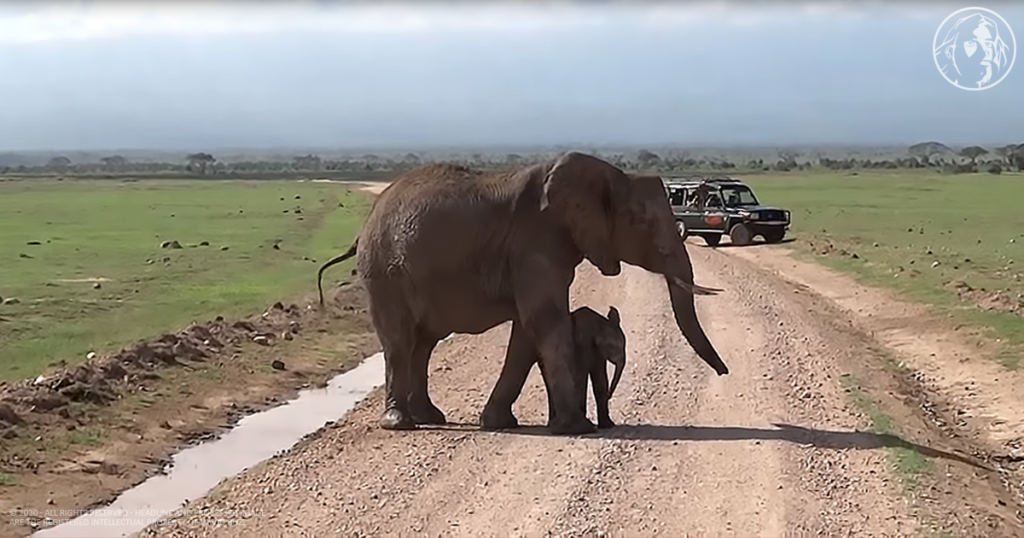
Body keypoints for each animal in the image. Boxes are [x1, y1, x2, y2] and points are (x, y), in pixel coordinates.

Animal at [316, 151, 728, 435]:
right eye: (642, 223)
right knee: (401, 341)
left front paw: (501, 423)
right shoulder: (535, 245)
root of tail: (366, 223)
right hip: (385, 272)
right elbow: (544, 322)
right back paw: (401, 422)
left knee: (424, 343)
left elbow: (527, 332)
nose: (725, 373)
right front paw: (577, 429)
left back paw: (429, 416)